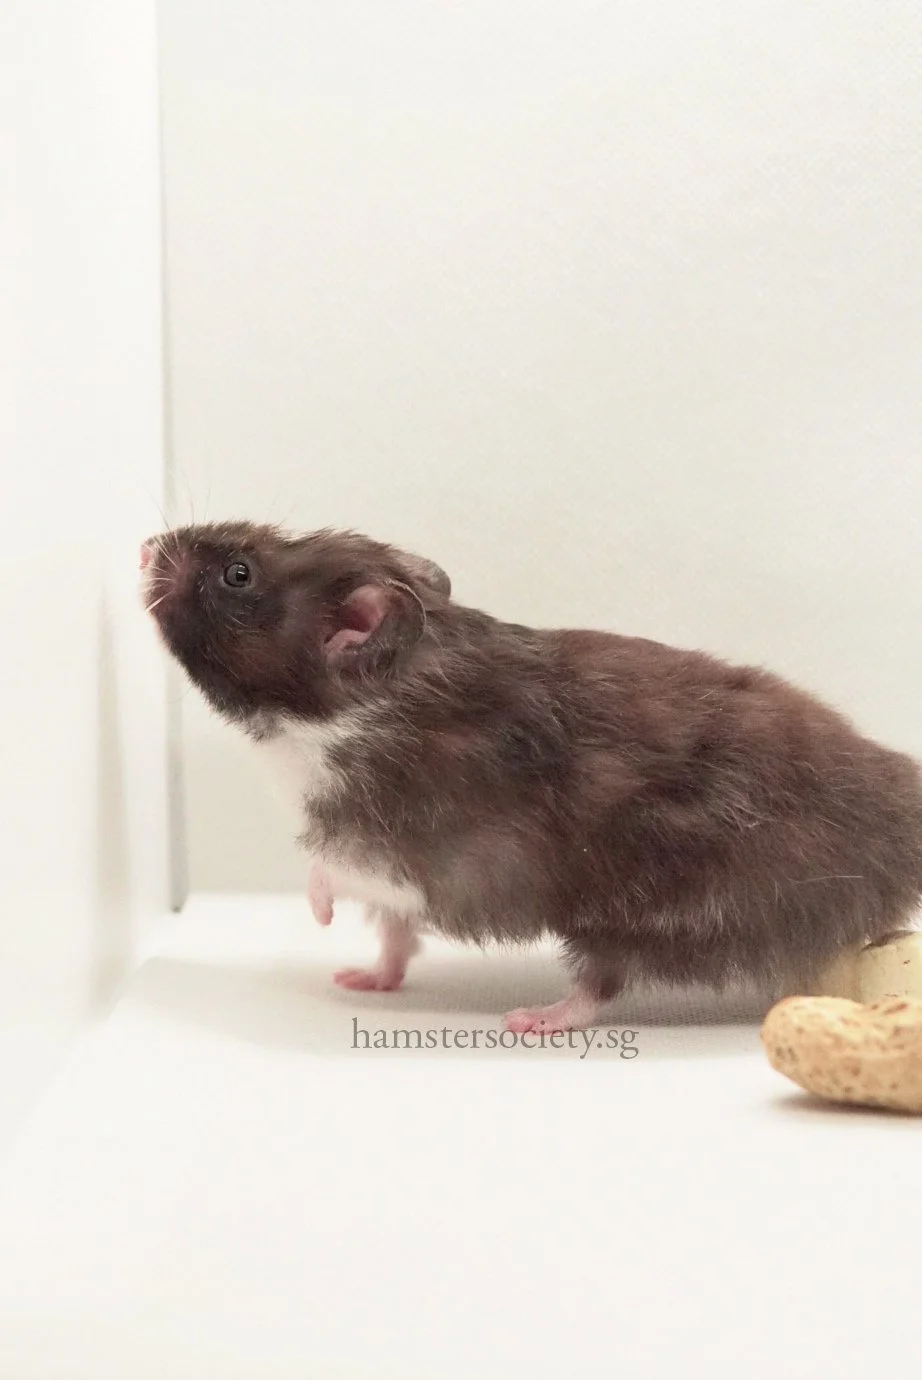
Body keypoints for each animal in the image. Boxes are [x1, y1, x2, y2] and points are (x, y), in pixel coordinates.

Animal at [141, 521, 922, 1032]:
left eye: (239, 574)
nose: (147, 544)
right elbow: (394, 930)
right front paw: (365, 976)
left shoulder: (412, 845)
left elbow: (335, 871)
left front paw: (320, 913)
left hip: (655, 906)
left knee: (602, 982)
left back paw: (536, 1018)